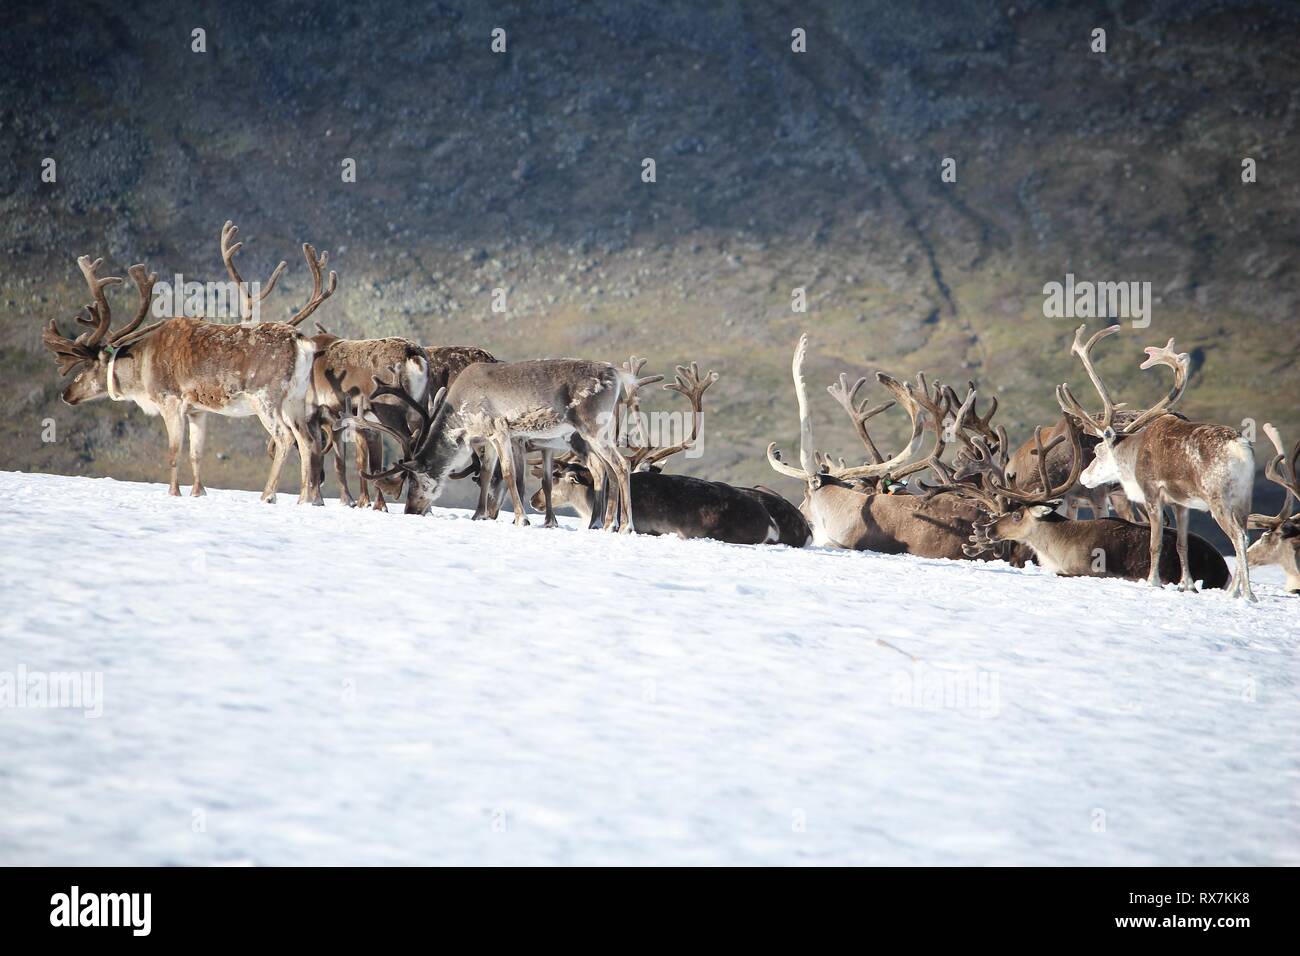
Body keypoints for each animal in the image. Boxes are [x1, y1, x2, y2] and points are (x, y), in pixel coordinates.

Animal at [42, 254, 324, 503]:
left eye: (88, 365)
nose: (66, 393)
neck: (142, 369)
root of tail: (301, 342)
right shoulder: (198, 411)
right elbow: (195, 453)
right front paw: (198, 493)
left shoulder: (170, 401)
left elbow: (173, 451)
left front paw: (173, 492)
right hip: (295, 399)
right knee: (307, 440)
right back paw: (303, 499)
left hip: (265, 399)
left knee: (285, 437)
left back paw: (268, 495)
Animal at [1055, 324, 1257, 599]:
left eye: (1097, 450)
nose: (1084, 476)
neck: (1132, 453)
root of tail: (1241, 448)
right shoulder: (1182, 504)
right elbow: (1182, 543)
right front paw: (1187, 585)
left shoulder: (1152, 494)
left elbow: (1156, 542)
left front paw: (1153, 582)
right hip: (1243, 499)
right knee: (1245, 536)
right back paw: (1241, 591)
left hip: (1219, 499)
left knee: (1238, 537)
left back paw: (1244, 594)